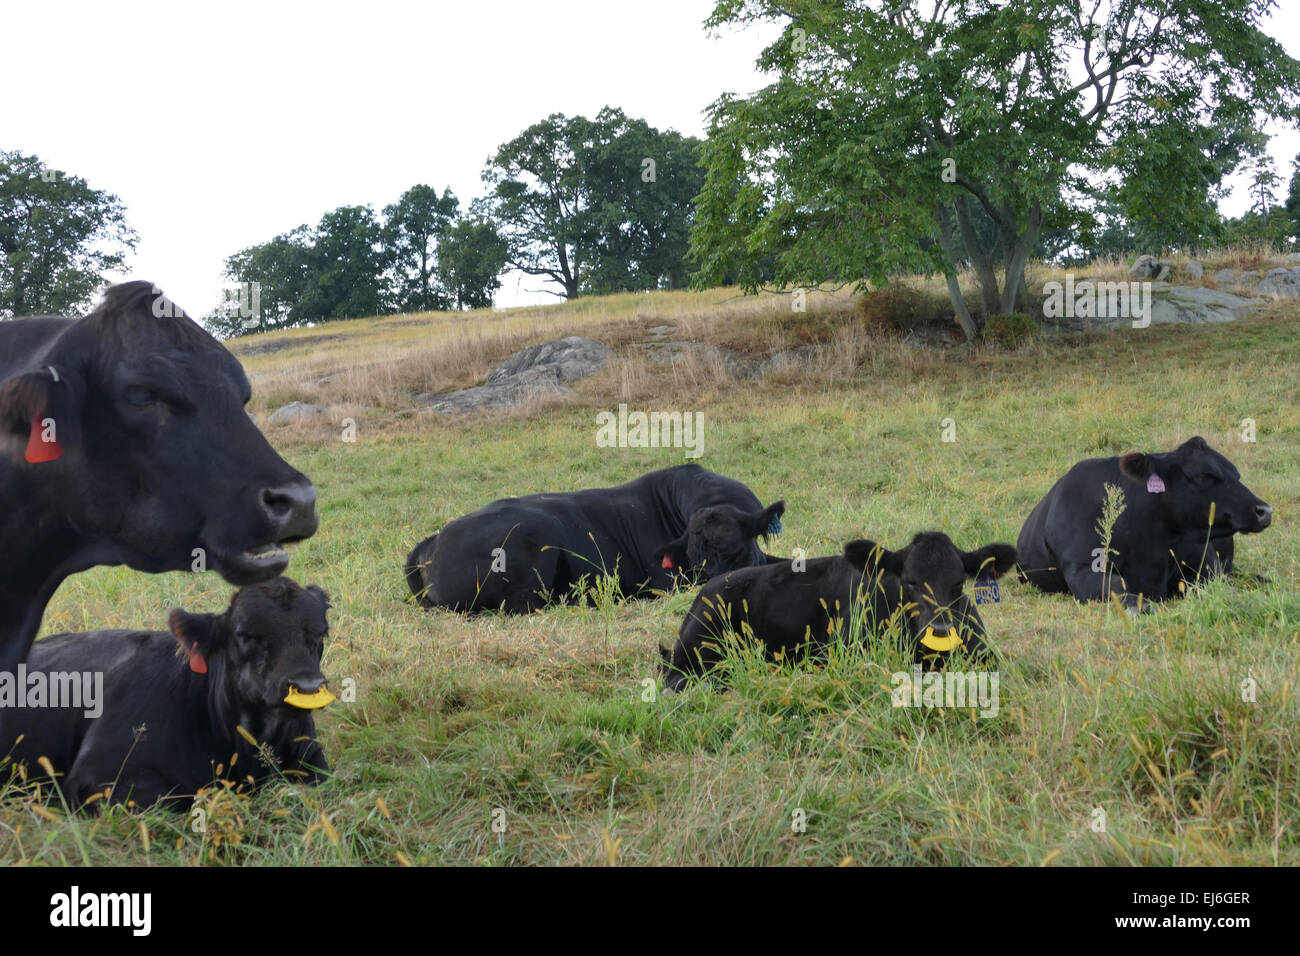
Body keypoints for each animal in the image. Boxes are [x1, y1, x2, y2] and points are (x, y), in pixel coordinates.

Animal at [1016, 437, 1273, 608]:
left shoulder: (1205, 563)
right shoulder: (1082, 568)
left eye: (1236, 474)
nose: (1265, 510)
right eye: (1204, 475)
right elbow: (1117, 588)